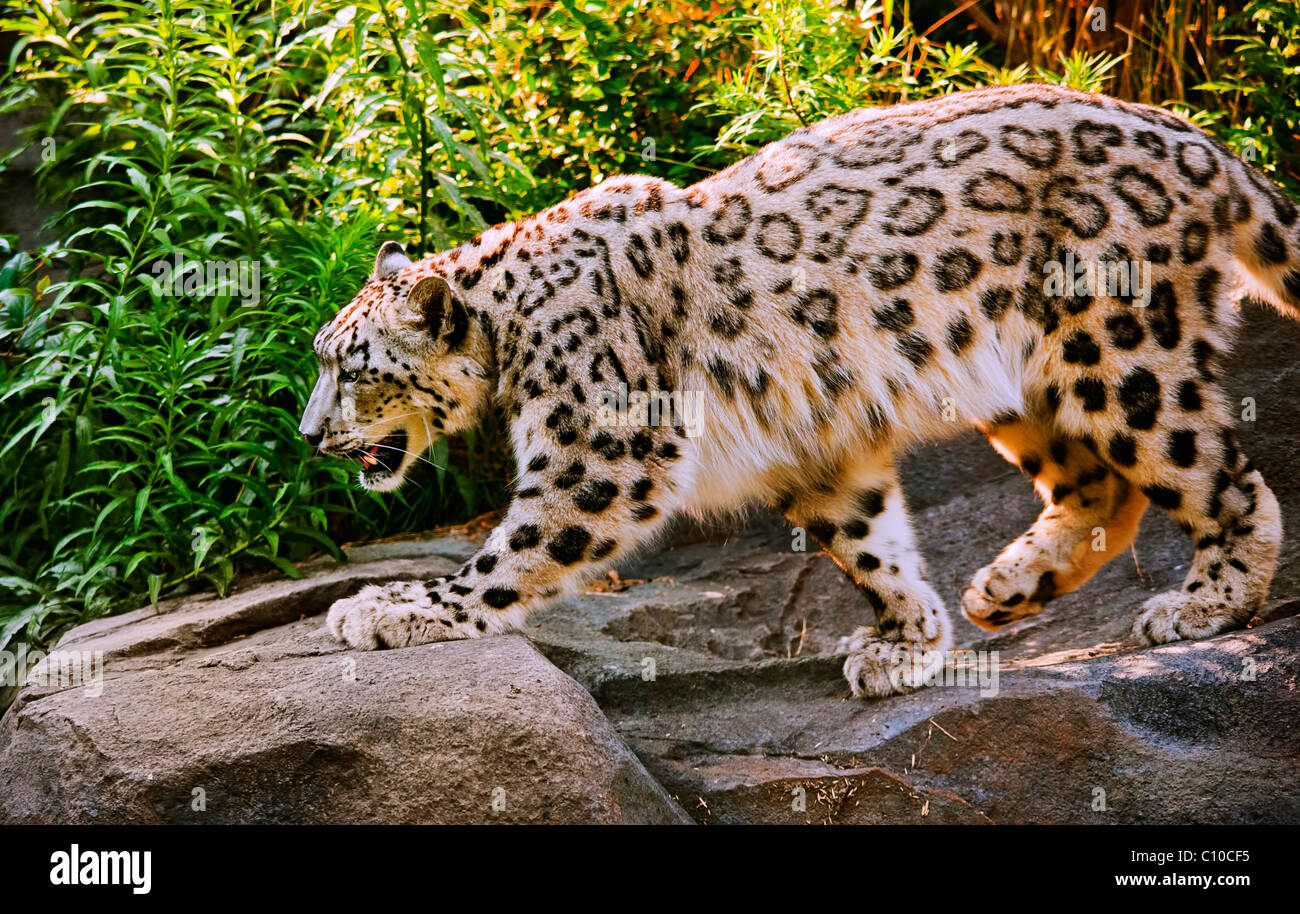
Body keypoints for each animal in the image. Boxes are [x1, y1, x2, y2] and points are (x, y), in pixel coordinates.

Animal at [300, 83, 1300, 697]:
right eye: (320, 358)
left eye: (352, 367)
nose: (309, 434)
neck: (516, 334)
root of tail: (1201, 140)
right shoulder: (818, 455)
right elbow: (866, 541)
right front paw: (906, 643)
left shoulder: (605, 446)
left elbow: (515, 550)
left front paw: (393, 610)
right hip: (1023, 388)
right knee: (1100, 488)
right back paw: (1005, 588)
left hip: (1120, 352)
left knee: (1219, 476)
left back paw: (1203, 604)